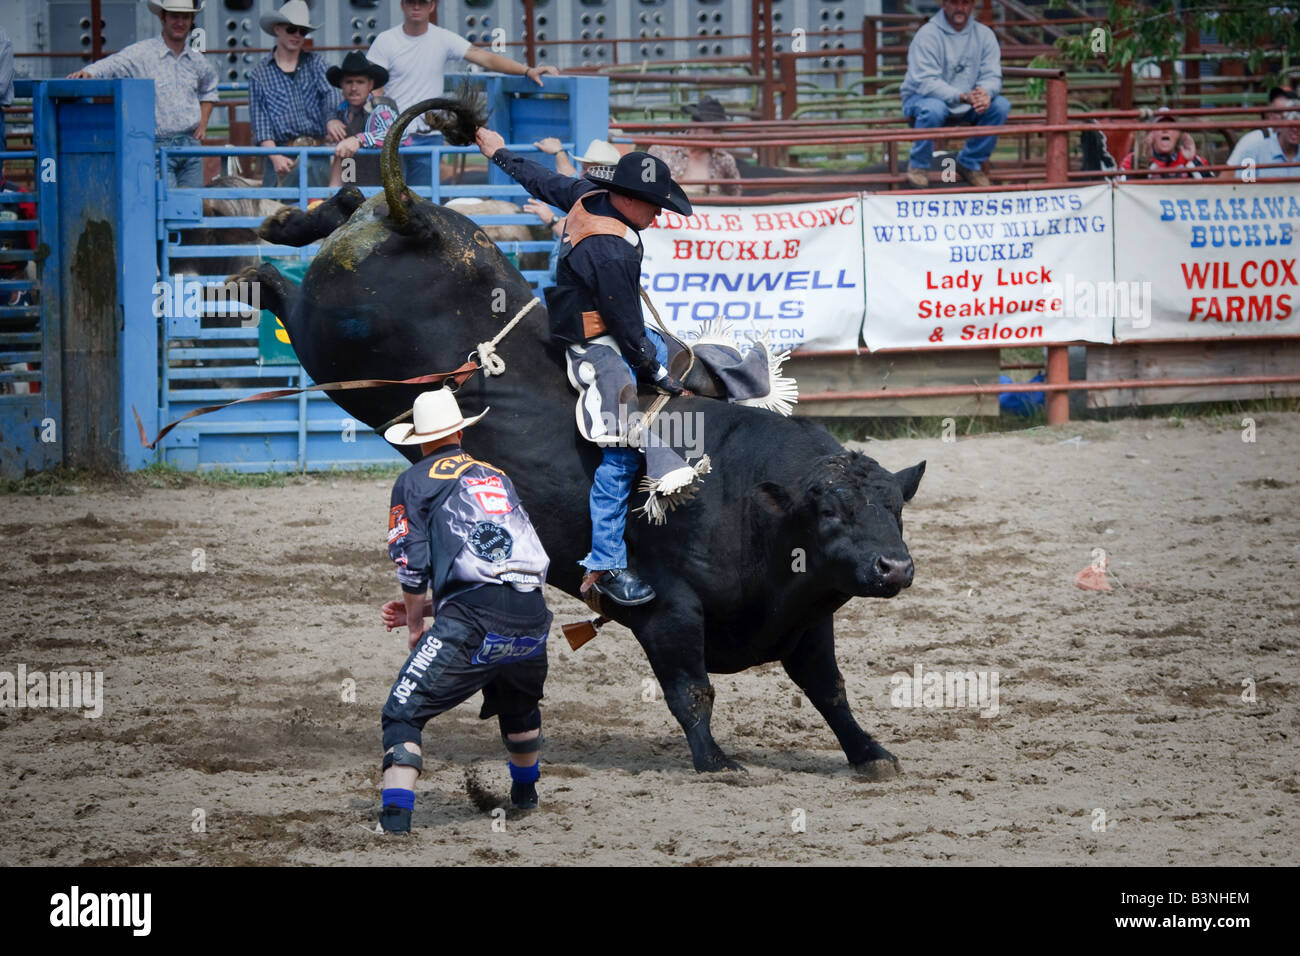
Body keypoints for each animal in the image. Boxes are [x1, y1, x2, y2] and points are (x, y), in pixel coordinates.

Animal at [235, 96, 924, 779]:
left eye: (895, 508)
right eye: (829, 511)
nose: (893, 567)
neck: (745, 498)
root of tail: (418, 223)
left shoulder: (807, 617)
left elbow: (829, 690)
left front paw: (871, 752)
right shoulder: (670, 612)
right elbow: (692, 689)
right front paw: (715, 759)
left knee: (351, 205)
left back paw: (291, 219)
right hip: (331, 347)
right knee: (280, 289)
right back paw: (247, 268)